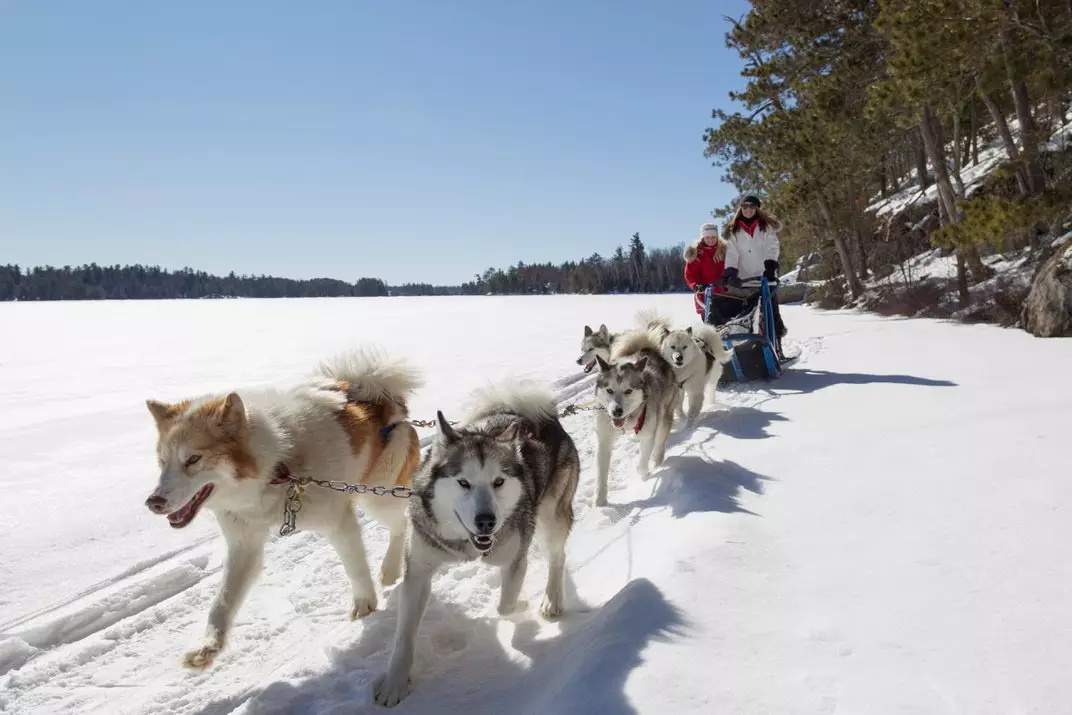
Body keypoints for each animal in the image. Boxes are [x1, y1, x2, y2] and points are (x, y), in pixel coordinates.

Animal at [141, 349, 422, 673]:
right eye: (163, 462)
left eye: (193, 459)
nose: (153, 502)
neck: (277, 468)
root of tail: (380, 395)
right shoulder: (244, 544)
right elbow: (223, 601)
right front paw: (208, 646)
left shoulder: (339, 524)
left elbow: (355, 569)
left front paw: (365, 604)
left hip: (378, 497)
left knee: (401, 523)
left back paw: (390, 568)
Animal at [375, 383, 578, 707]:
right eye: (463, 483)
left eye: (498, 482)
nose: (486, 522)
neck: (464, 544)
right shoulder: (418, 571)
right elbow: (404, 635)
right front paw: (394, 684)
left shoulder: (514, 555)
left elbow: (505, 604)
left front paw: (521, 602)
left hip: (551, 517)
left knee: (557, 557)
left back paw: (552, 600)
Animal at [591, 332, 673, 508]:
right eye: (609, 390)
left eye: (628, 391)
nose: (617, 411)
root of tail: (648, 349)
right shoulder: (604, 439)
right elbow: (601, 473)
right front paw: (600, 500)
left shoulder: (648, 434)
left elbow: (642, 465)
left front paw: (645, 475)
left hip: (664, 416)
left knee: (660, 442)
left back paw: (657, 462)